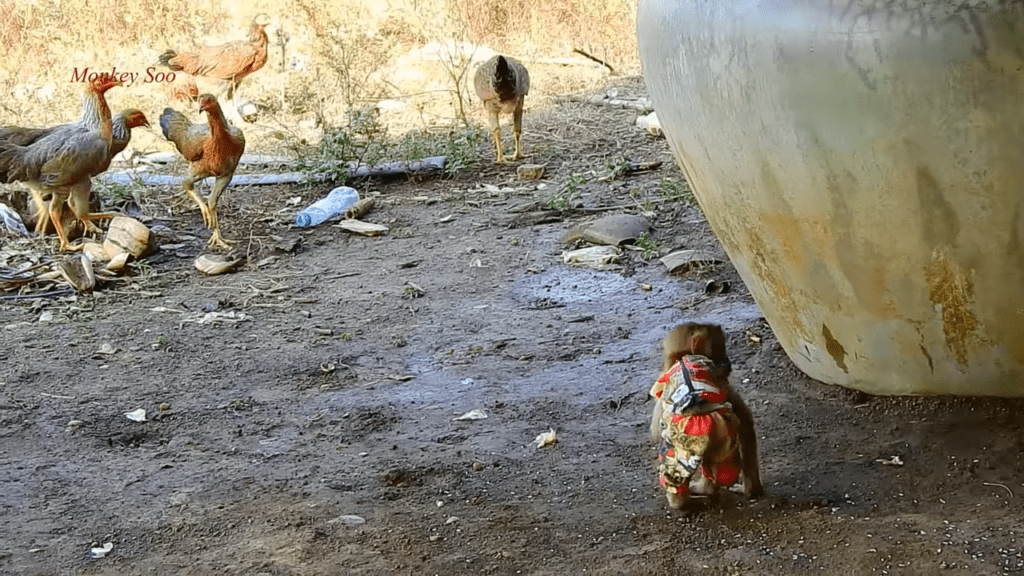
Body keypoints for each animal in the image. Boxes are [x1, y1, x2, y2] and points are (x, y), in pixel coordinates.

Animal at [649, 322, 763, 509]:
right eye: (720, 350)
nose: (728, 362)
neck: (685, 357)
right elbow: (745, 420)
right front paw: (752, 490)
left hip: (689, 440)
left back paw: (684, 499)